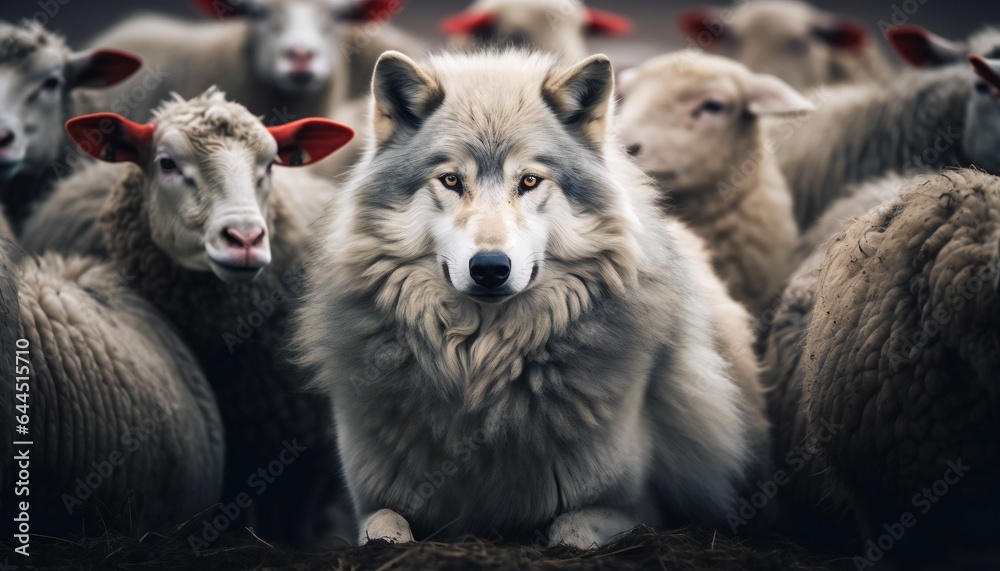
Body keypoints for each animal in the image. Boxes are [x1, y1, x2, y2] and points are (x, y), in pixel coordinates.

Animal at [294, 49, 769, 549]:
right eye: (451, 180)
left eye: (528, 181)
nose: (489, 268)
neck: (479, 367)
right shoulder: (369, 503)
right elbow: (385, 528)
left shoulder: (637, 507)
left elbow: (570, 531)